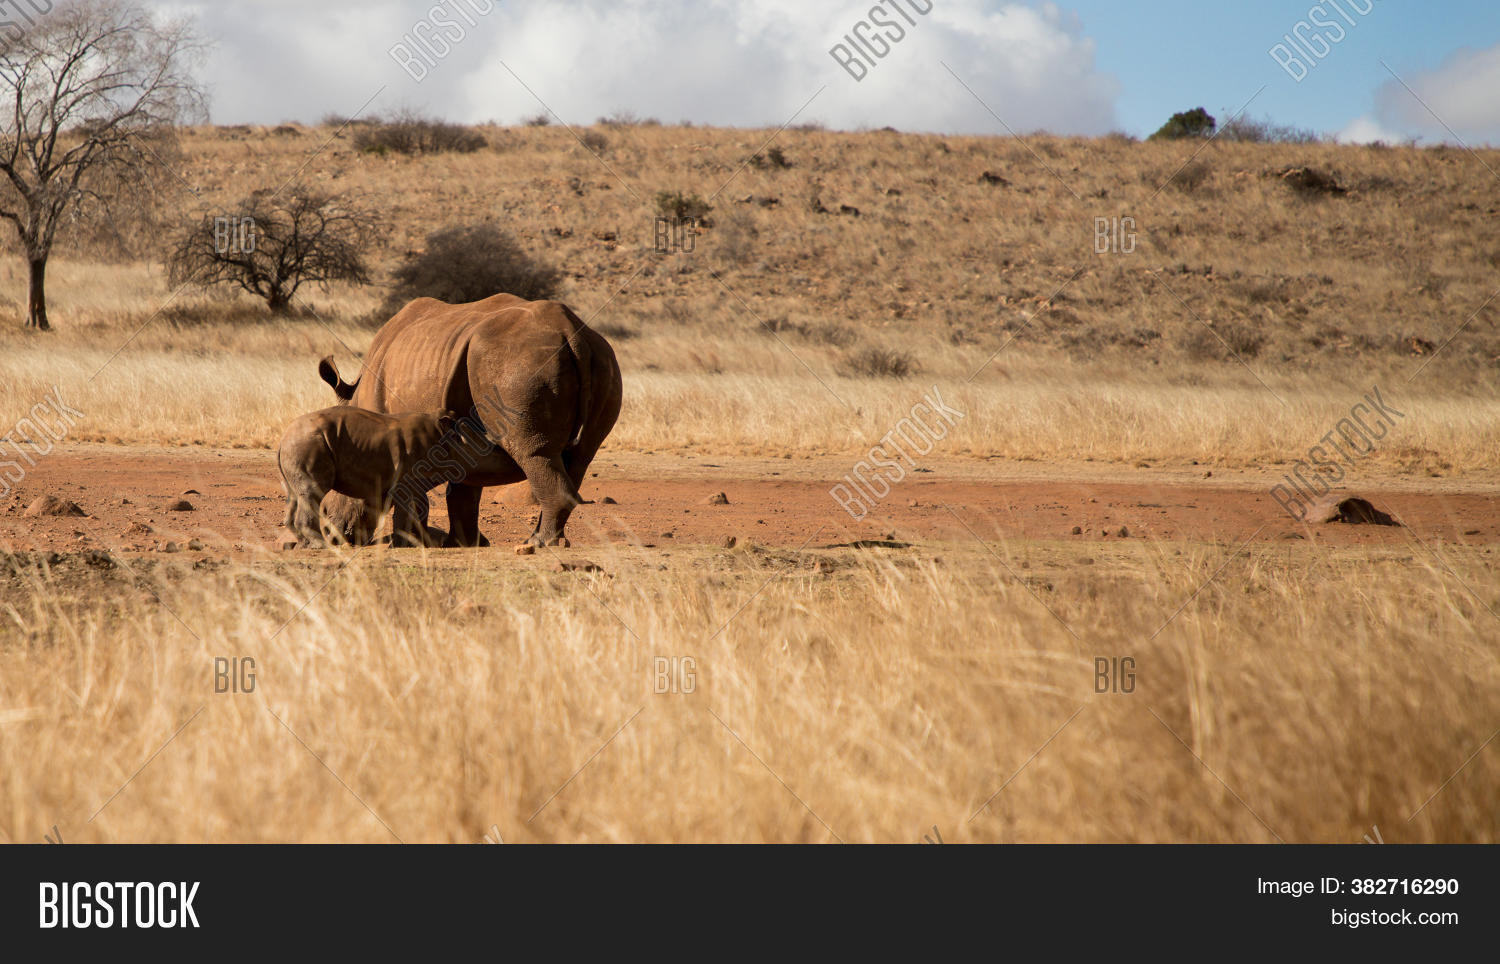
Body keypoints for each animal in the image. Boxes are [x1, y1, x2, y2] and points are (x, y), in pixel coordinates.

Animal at [316, 293, 622, 550]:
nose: (335, 535)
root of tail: (572, 332)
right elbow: (463, 489)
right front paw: (464, 543)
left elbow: (419, 493)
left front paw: (412, 543)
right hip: (601, 359)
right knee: (581, 456)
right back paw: (541, 539)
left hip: (522, 366)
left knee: (533, 452)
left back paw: (538, 544)